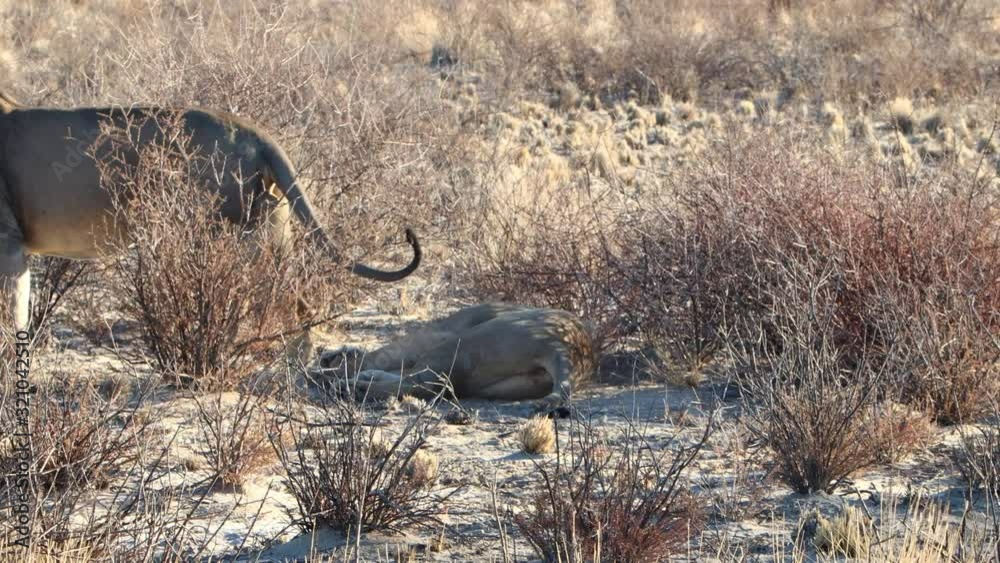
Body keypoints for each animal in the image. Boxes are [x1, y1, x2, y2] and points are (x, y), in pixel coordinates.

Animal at [0, 91, 420, 334]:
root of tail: (253, 132)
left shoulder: (9, 244)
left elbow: (10, 318)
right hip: (271, 230)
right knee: (294, 301)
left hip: (223, 236)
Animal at [311, 303, 598, 411]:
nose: (318, 367)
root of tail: (570, 347)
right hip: (491, 381)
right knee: (429, 384)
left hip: (466, 343)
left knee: (423, 383)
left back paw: (349, 388)